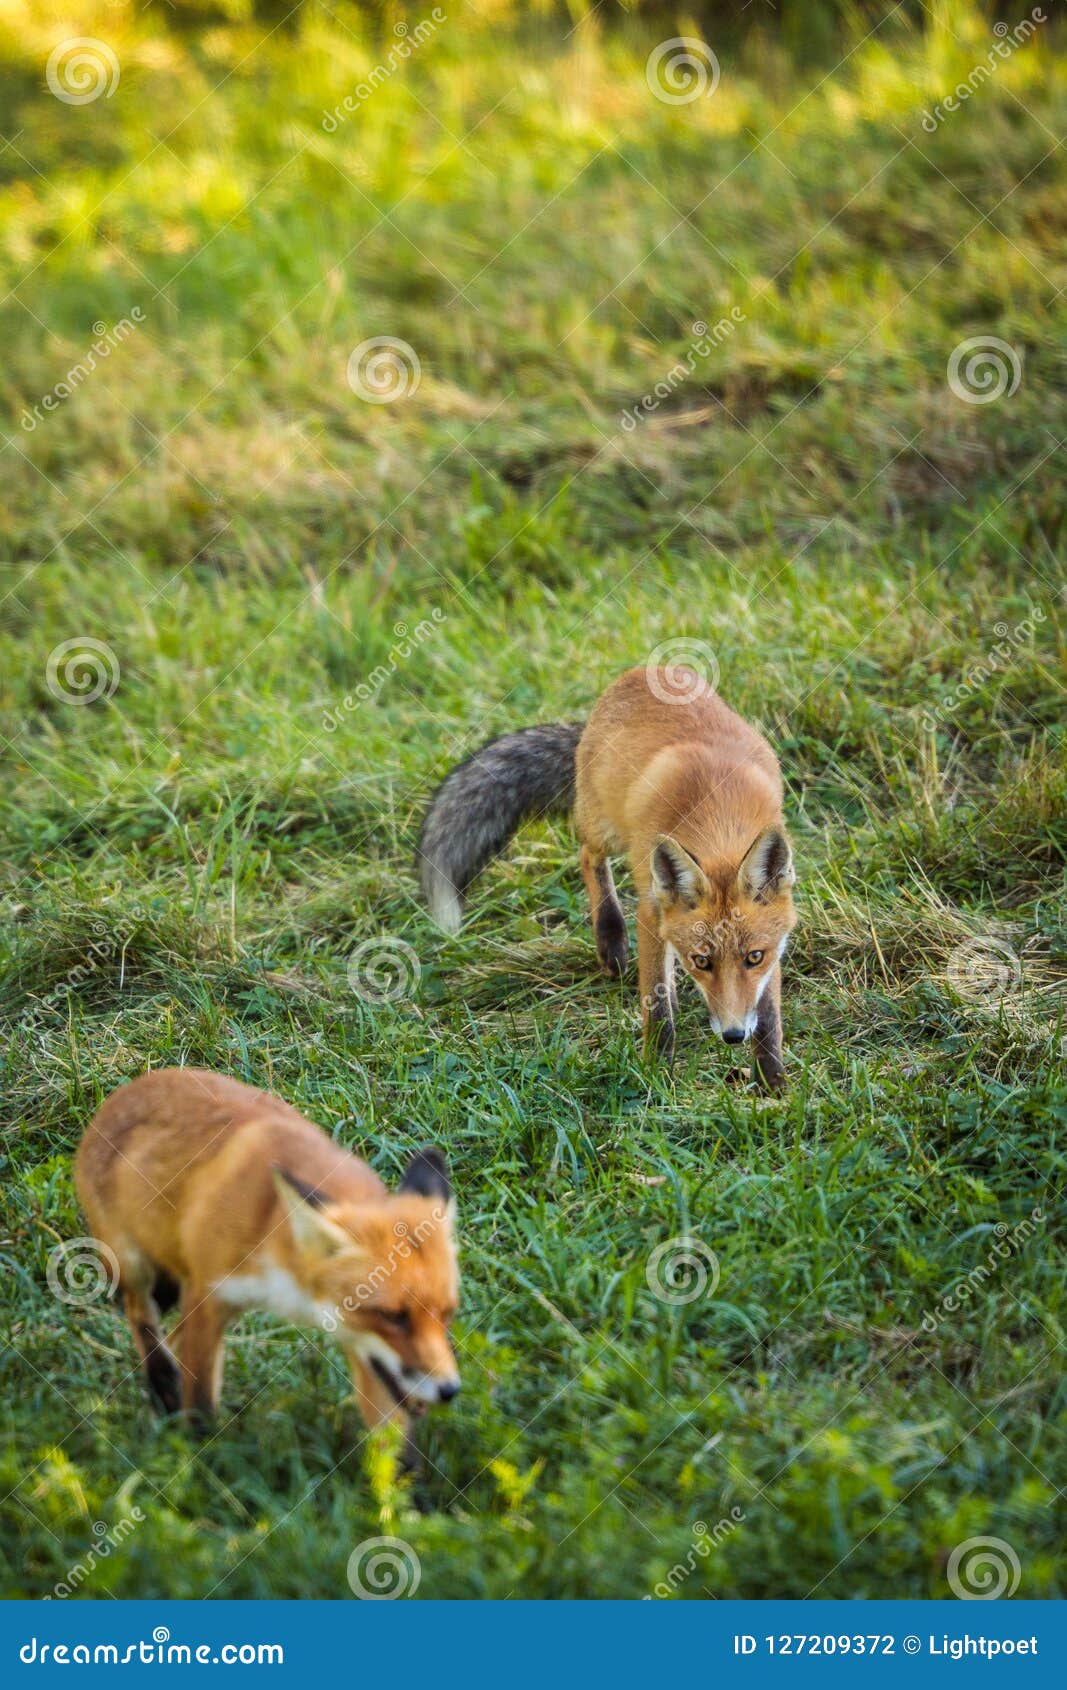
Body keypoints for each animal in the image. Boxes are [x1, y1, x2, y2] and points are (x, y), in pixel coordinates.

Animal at [74, 1068, 460, 1434]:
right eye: (393, 1316)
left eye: (447, 1313)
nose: (450, 1390)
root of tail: (124, 1092)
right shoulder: (206, 1293)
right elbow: (200, 1404)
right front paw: (197, 1451)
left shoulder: (361, 1341)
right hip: (133, 1263)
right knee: (140, 1312)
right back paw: (161, 1380)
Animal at [418, 665, 797, 1087]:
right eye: (701, 961)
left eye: (754, 957)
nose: (732, 1035)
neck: (719, 814)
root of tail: (642, 670)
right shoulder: (651, 907)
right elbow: (657, 1009)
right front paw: (657, 1070)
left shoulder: (772, 943)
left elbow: (768, 1018)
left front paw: (770, 1080)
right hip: (607, 831)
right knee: (587, 857)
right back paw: (610, 940)